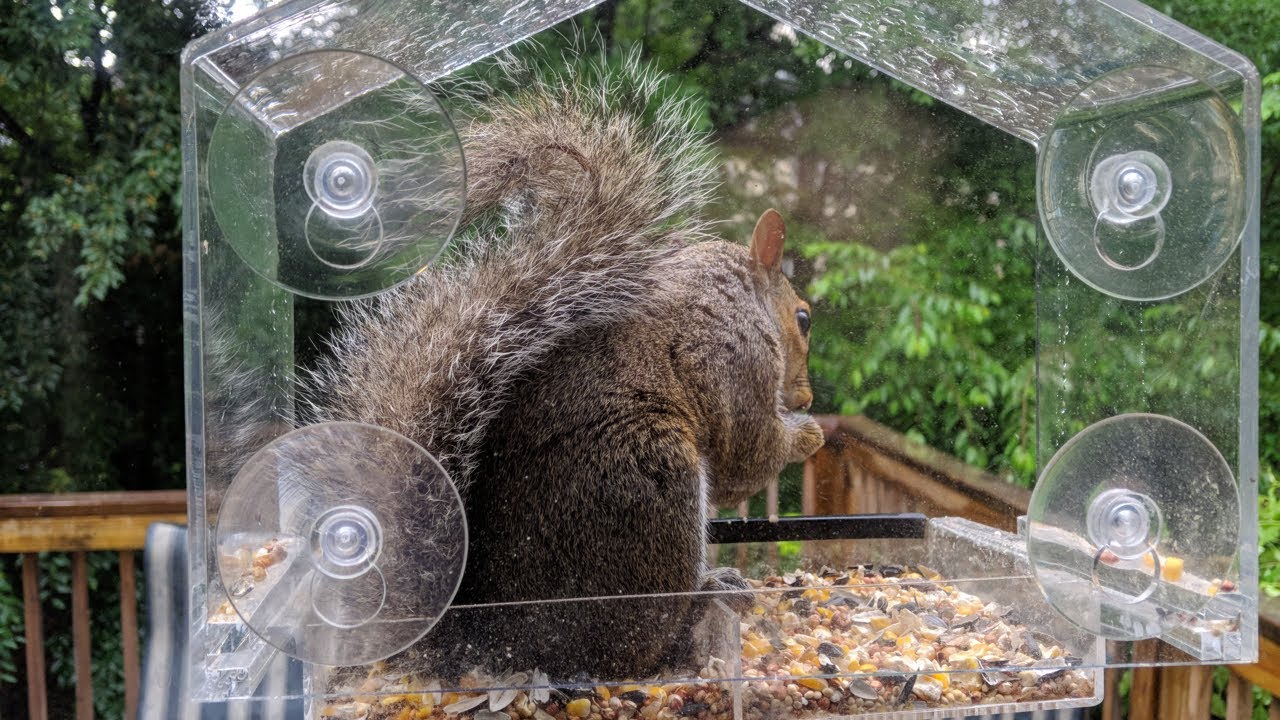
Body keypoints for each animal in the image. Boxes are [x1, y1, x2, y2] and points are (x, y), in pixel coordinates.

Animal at [302, 50, 825, 681]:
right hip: (651, 479)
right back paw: (707, 594)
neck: (738, 294)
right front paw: (808, 435)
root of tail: (490, 638)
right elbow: (743, 458)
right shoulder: (730, 357)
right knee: (638, 646)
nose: (807, 399)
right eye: (803, 318)